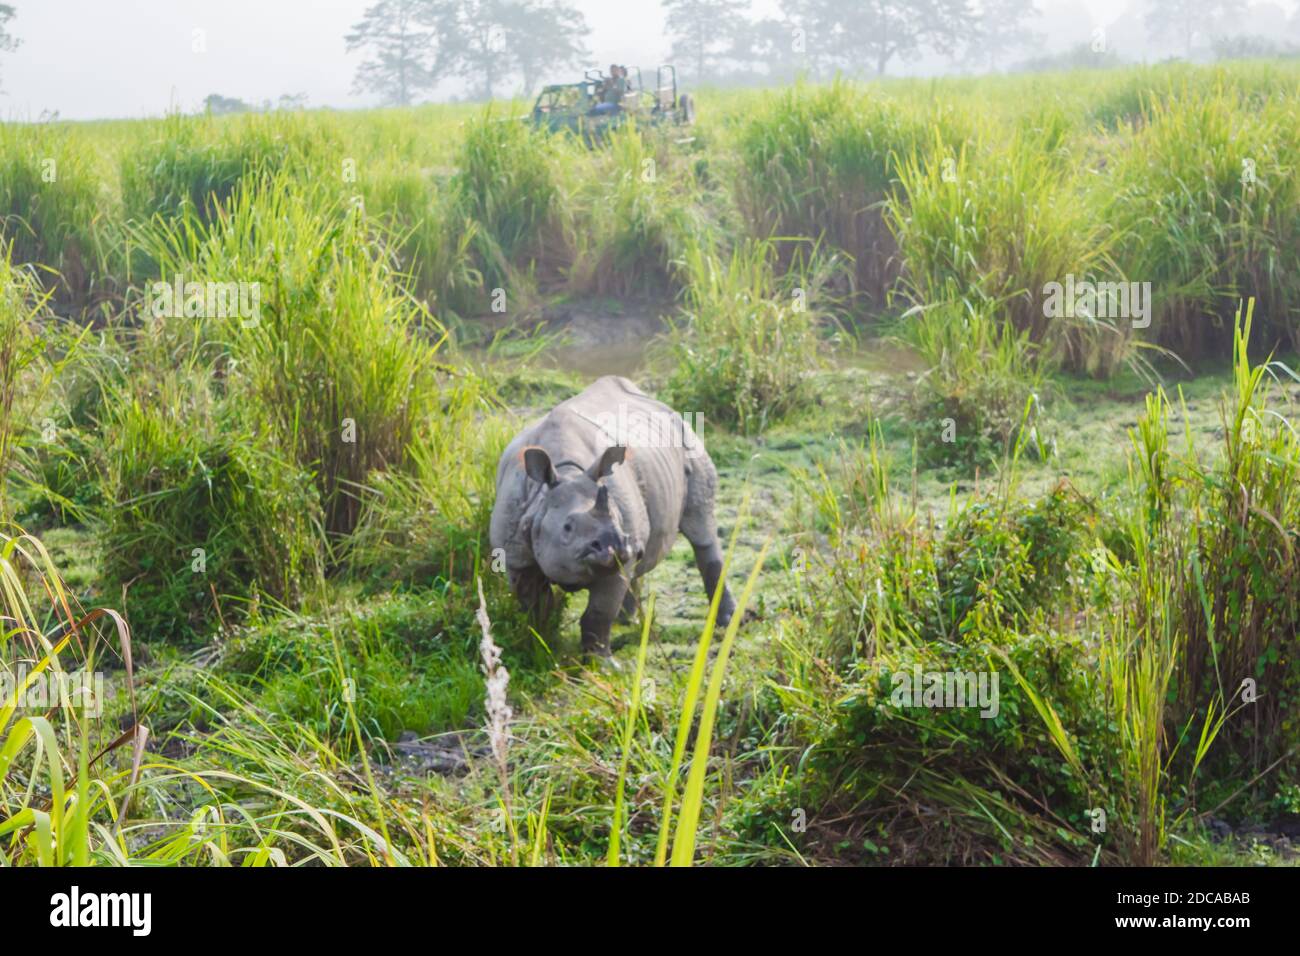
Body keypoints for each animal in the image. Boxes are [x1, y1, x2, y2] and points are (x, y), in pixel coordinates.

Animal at [489, 376, 736, 656]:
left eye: (614, 518)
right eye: (567, 527)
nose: (617, 545)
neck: (564, 474)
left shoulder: (618, 557)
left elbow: (599, 613)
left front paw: (602, 662)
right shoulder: (516, 555)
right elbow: (536, 607)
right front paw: (541, 647)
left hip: (689, 440)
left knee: (700, 530)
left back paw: (726, 621)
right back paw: (627, 620)